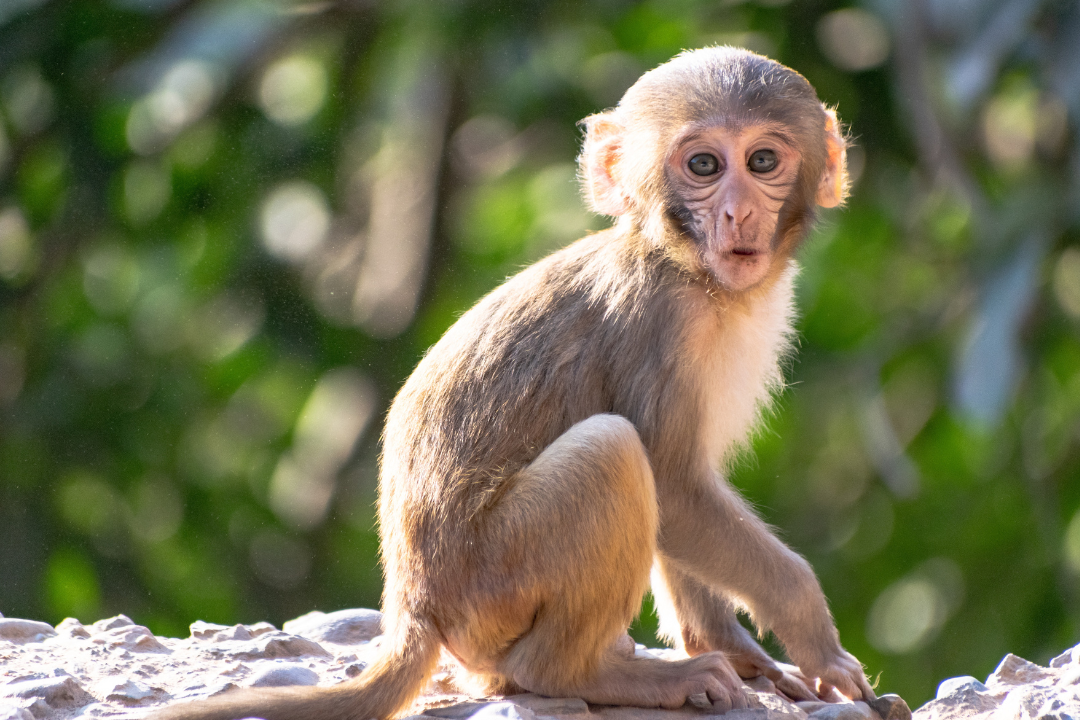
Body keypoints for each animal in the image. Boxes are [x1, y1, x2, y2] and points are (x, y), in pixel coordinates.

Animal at [149, 46, 874, 720]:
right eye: (703, 166)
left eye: (762, 161)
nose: (737, 214)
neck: (688, 268)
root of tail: (413, 606)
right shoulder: (663, 326)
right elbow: (673, 484)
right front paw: (815, 636)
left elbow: (686, 499)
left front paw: (741, 653)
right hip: (494, 579)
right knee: (613, 452)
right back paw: (587, 674)